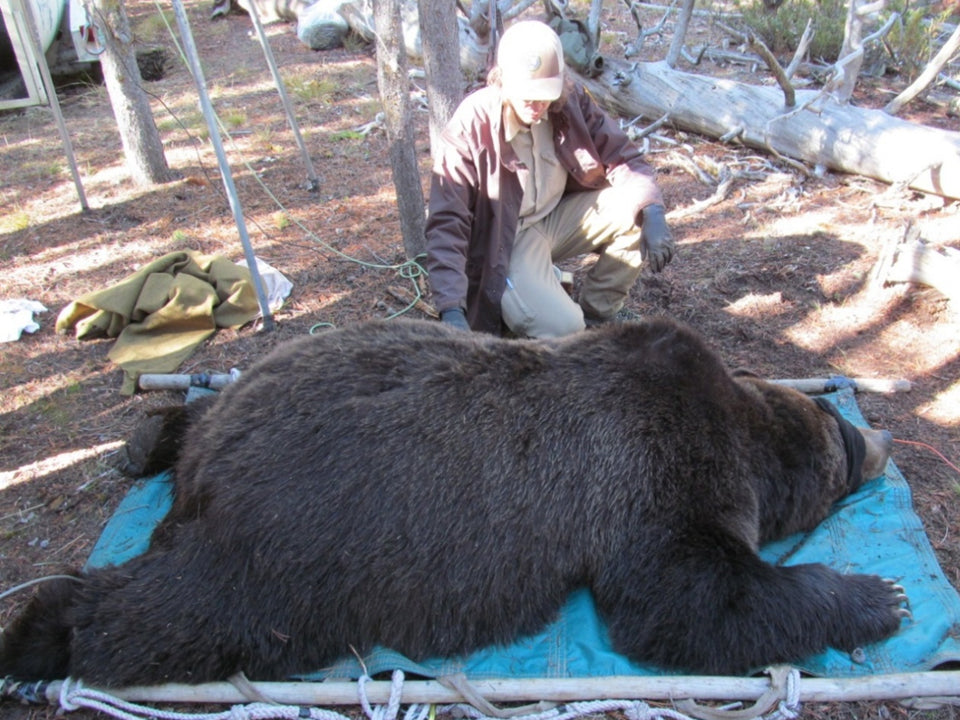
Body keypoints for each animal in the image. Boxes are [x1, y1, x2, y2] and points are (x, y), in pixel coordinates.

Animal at [0, 317, 906, 687]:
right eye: (844, 442)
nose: (883, 444)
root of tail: (207, 474)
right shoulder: (654, 472)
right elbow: (690, 602)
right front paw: (880, 595)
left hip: (266, 395)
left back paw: (148, 438)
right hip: (283, 553)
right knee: (170, 616)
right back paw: (36, 632)